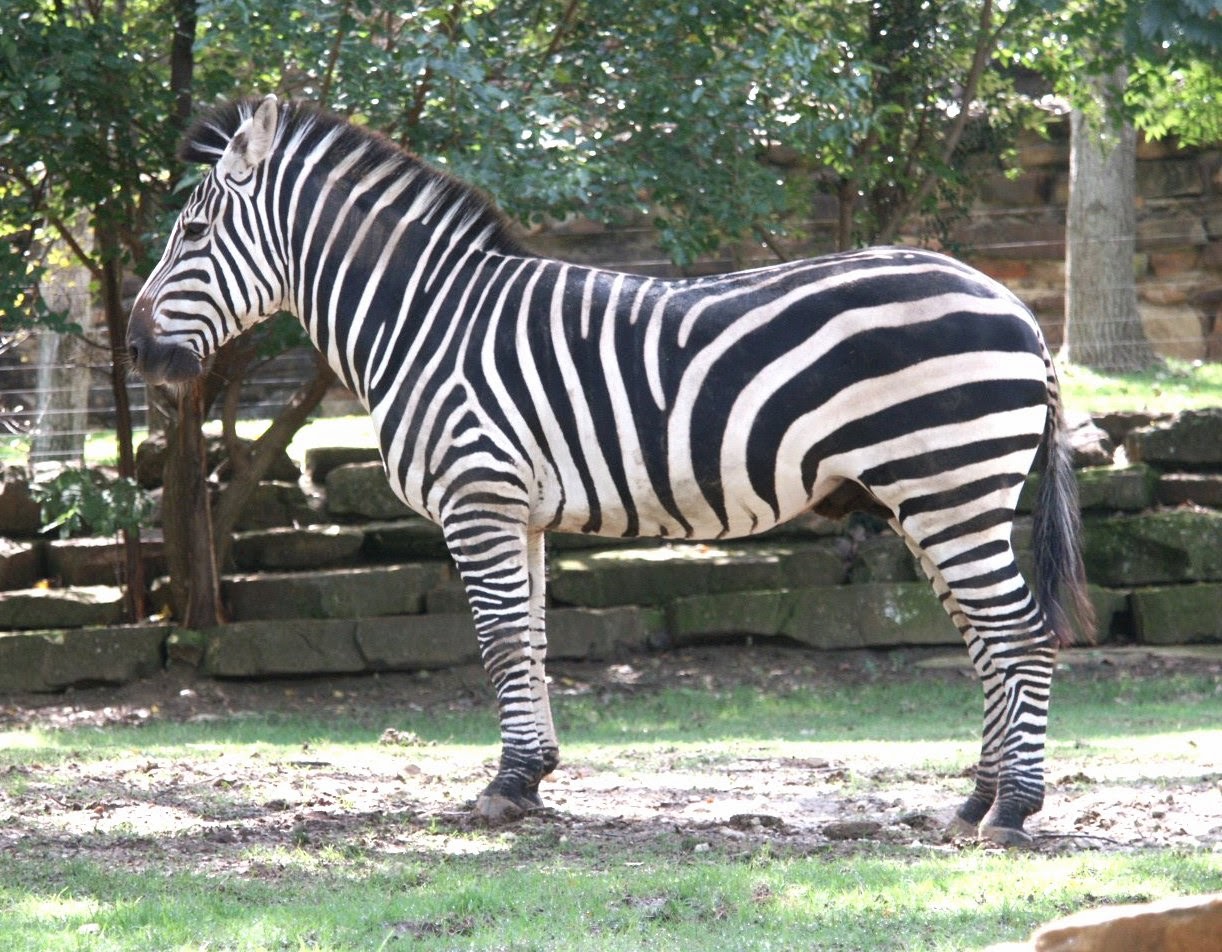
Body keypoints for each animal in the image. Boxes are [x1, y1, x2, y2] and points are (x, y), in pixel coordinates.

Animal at [127, 95, 1092, 846]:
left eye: (195, 231)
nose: (137, 352)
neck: (424, 320)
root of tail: (1015, 306)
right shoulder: (518, 511)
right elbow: (532, 638)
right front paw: (532, 774)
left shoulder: (477, 496)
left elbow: (498, 638)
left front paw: (504, 789)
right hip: (937, 496)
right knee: (983, 636)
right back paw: (973, 801)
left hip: (948, 487)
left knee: (1020, 631)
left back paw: (1014, 810)